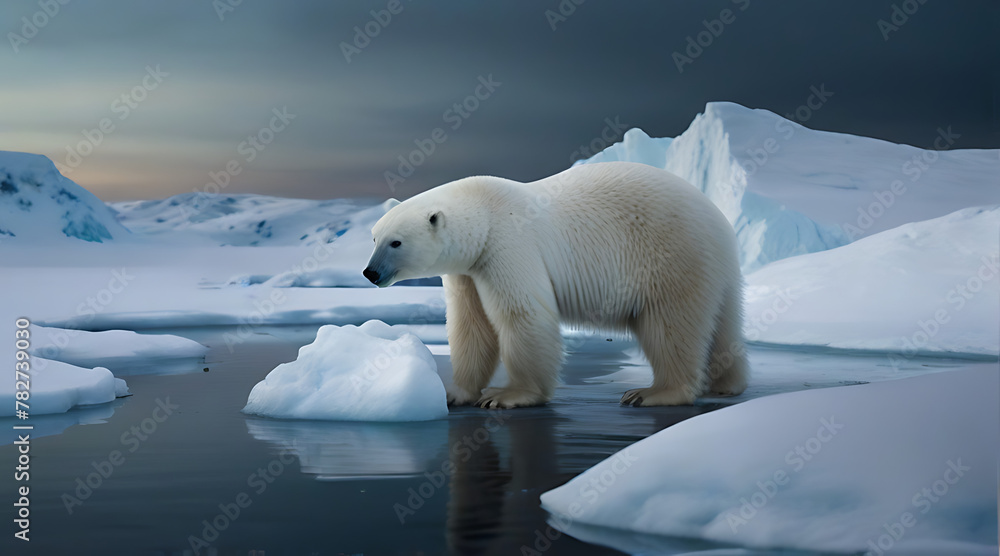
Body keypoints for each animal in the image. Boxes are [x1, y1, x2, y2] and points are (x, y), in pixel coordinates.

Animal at [364, 161, 748, 409]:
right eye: (374, 237)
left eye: (396, 242)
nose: (370, 273)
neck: (483, 212)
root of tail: (720, 220)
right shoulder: (468, 270)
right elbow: (471, 324)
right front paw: (455, 392)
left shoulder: (508, 244)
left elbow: (522, 315)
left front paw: (508, 395)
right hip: (713, 269)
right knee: (723, 322)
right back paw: (727, 384)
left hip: (669, 255)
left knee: (670, 324)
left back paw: (653, 393)